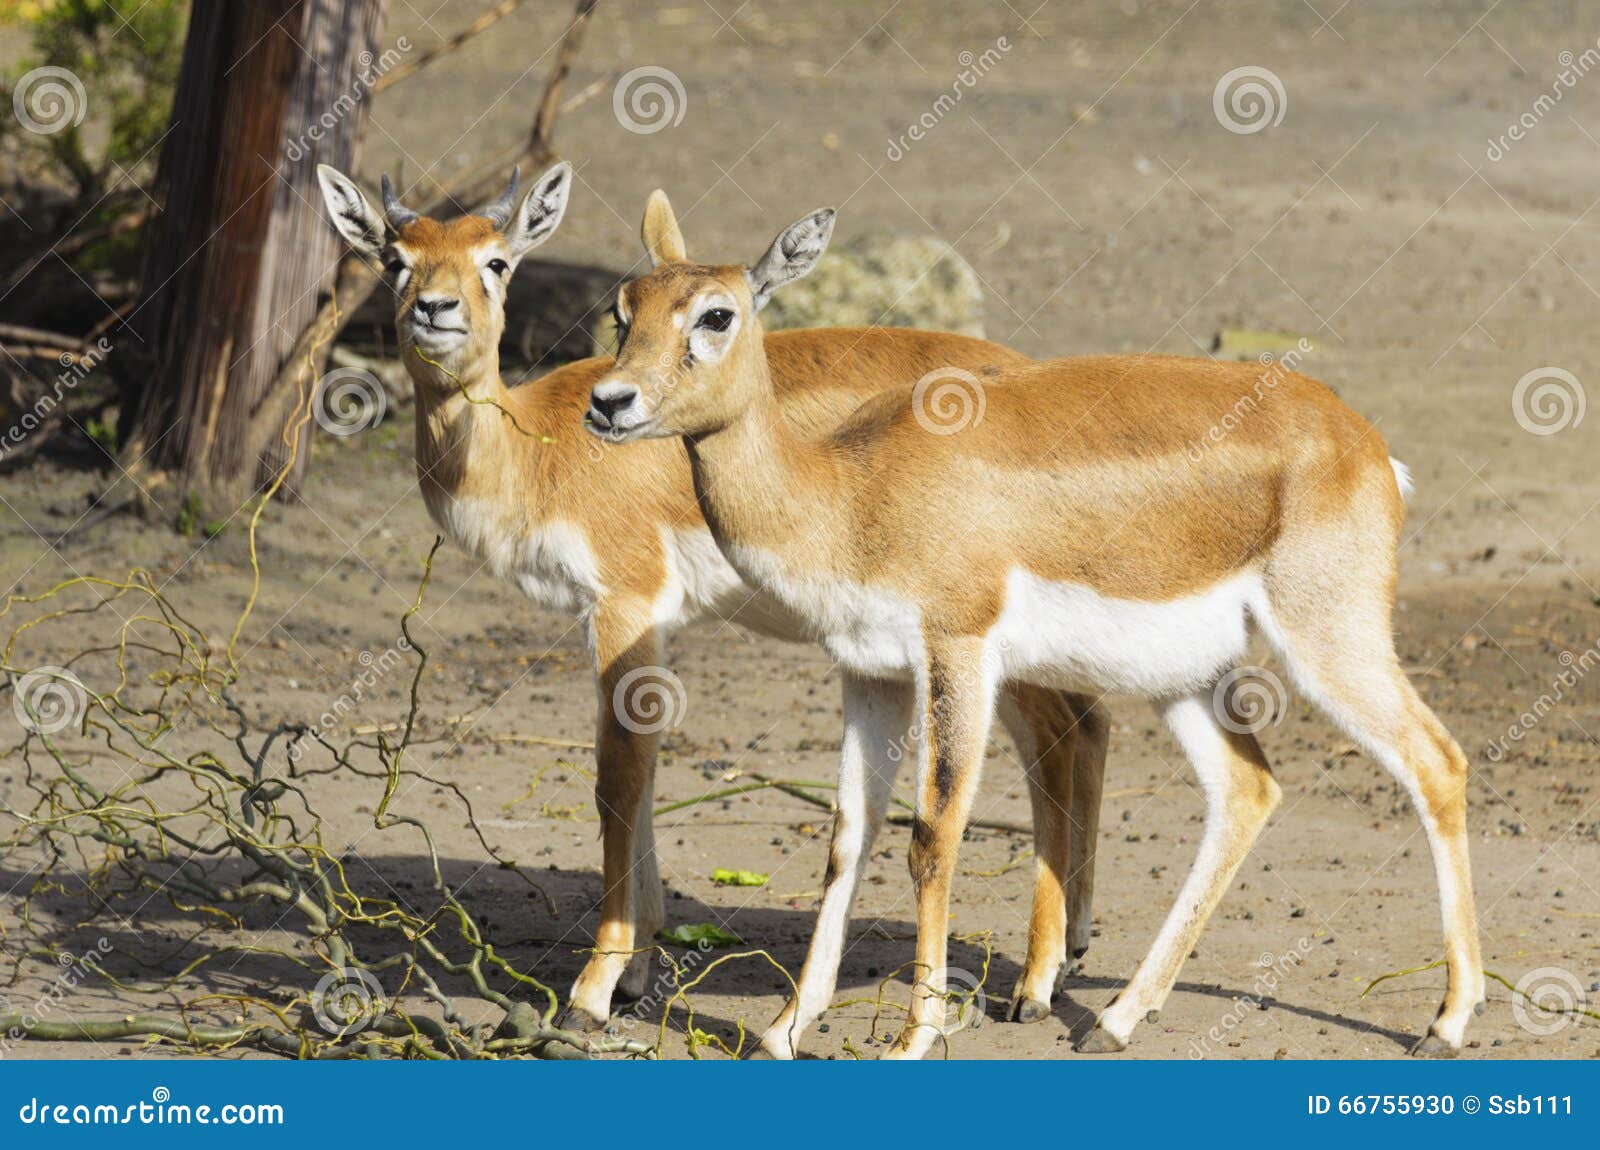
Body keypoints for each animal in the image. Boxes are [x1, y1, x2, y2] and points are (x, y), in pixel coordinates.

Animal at [315, 163, 1111, 1053]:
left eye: (496, 259)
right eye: (395, 257)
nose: (435, 309)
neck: (538, 449)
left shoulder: (625, 601)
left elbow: (617, 780)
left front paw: (594, 989)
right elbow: (643, 773)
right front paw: (635, 972)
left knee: (1058, 740)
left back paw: (1037, 984)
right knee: (1087, 725)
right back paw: (1071, 949)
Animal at [586, 196, 1486, 1060]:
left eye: (717, 313)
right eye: (624, 310)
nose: (609, 402)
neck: (850, 488)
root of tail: (1363, 444)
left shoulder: (958, 647)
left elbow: (934, 834)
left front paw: (914, 1037)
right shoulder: (870, 672)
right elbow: (849, 837)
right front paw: (781, 1031)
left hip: (1329, 640)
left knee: (1436, 762)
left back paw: (1446, 1022)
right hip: (1186, 677)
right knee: (1247, 788)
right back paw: (1117, 1019)